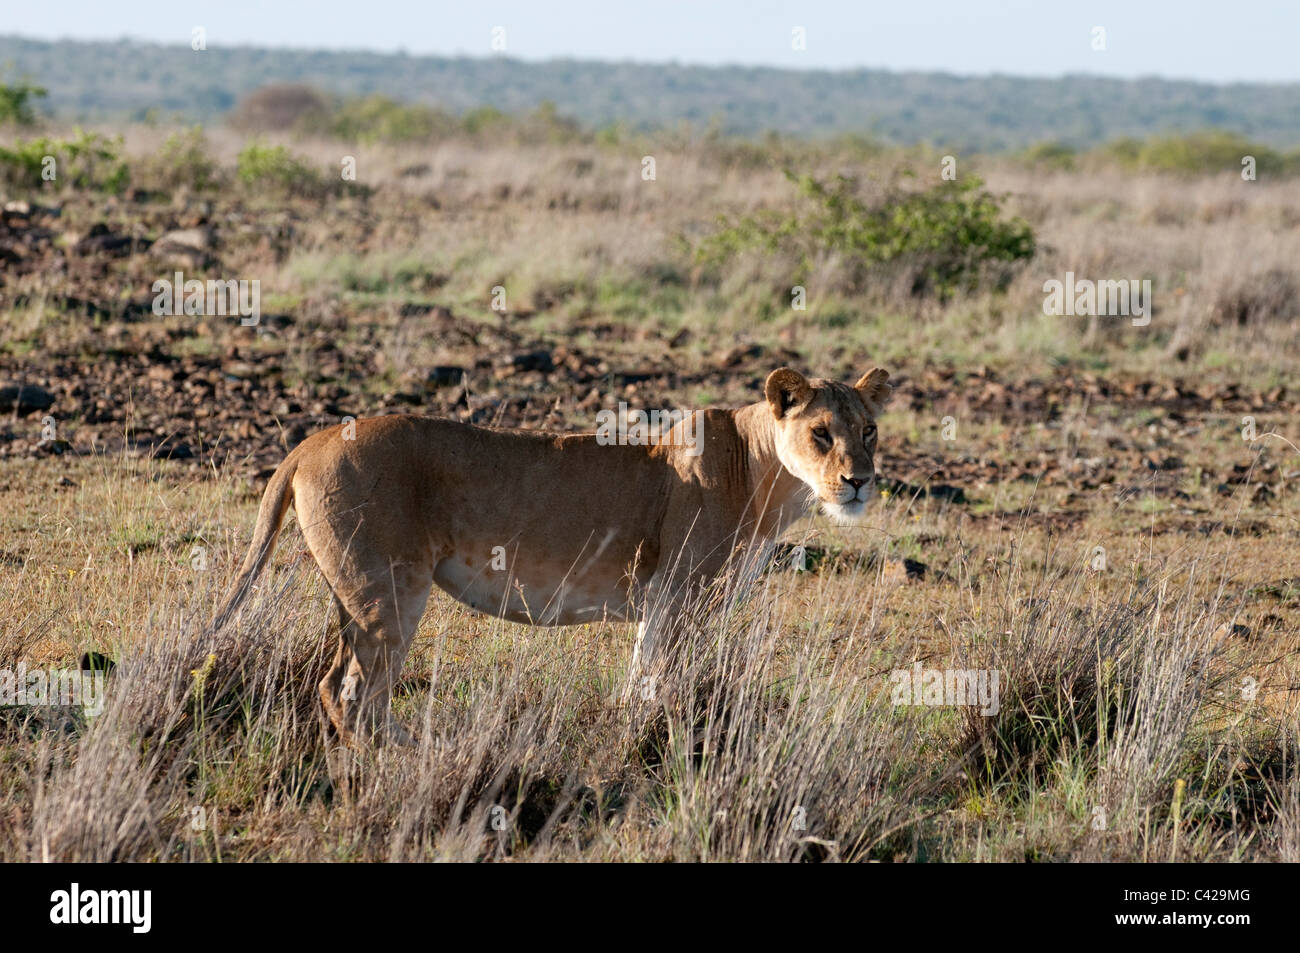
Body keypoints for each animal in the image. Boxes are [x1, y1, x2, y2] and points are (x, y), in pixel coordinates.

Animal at [210, 366, 892, 745]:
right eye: (821, 433)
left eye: (869, 431)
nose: (859, 481)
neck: (768, 481)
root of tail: (313, 440)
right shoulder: (679, 599)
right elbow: (664, 685)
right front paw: (656, 744)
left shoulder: (661, 606)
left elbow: (640, 680)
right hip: (388, 589)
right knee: (349, 692)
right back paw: (412, 759)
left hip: (359, 594)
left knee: (349, 689)